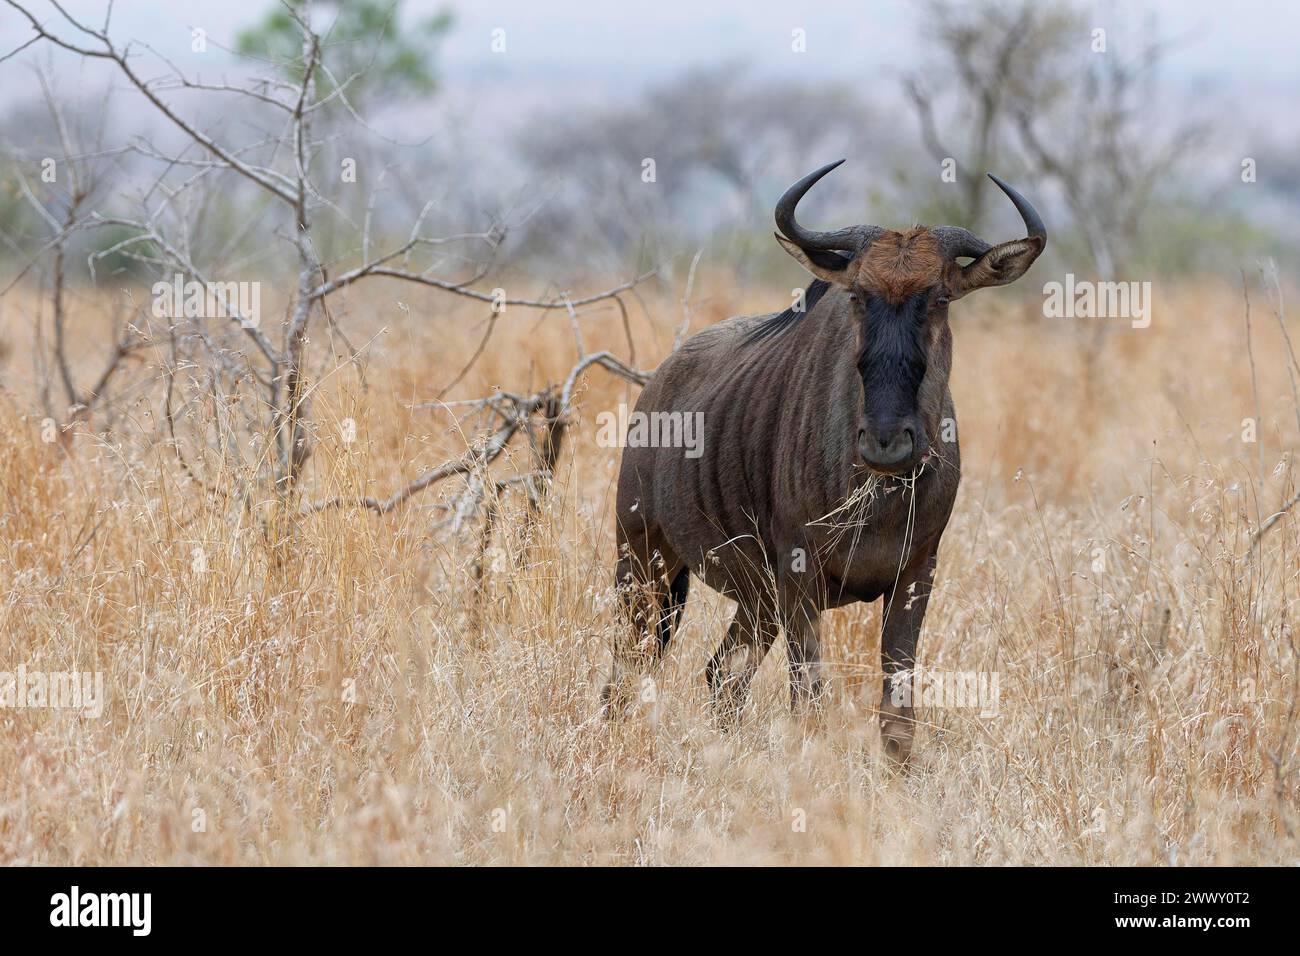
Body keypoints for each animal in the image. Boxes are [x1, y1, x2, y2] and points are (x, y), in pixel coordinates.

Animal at [604, 161, 1045, 764]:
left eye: (939, 297)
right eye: (858, 295)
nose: (887, 443)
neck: (878, 498)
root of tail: (656, 386)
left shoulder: (915, 575)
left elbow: (897, 718)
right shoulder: (800, 579)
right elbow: (810, 704)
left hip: (753, 599)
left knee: (721, 677)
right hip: (642, 561)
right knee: (627, 668)